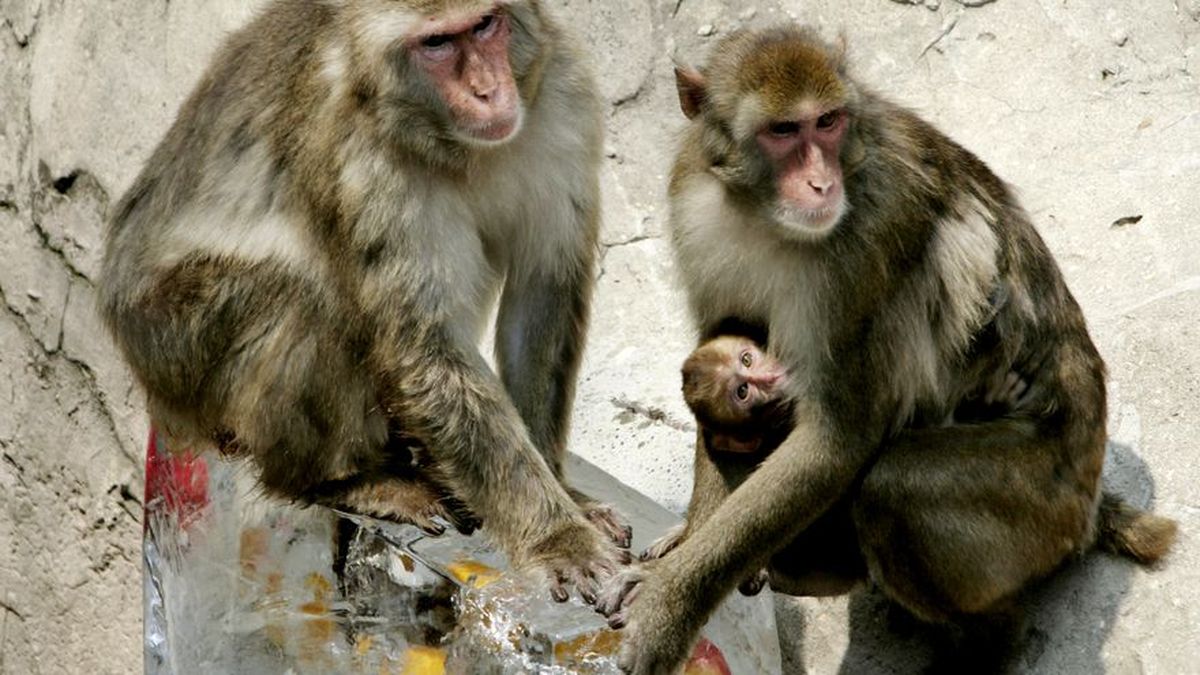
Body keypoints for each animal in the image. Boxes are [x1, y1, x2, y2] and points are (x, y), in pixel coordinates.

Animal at [98, 0, 632, 604]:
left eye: (484, 24)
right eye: (436, 44)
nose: (487, 90)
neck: (452, 144)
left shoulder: (561, 97)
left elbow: (542, 293)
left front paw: (564, 493)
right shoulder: (364, 163)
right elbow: (425, 345)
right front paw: (558, 540)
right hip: (174, 346)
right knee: (308, 297)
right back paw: (343, 481)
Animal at [597, 25, 1178, 673]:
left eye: (827, 121)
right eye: (783, 131)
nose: (822, 183)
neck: (760, 214)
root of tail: (1092, 496)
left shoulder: (869, 236)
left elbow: (838, 441)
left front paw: (668, 606)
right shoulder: (692, 197)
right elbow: (719, 369)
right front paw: (684, 545)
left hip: (1047, 510)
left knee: (893, 489)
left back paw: (992, 640)